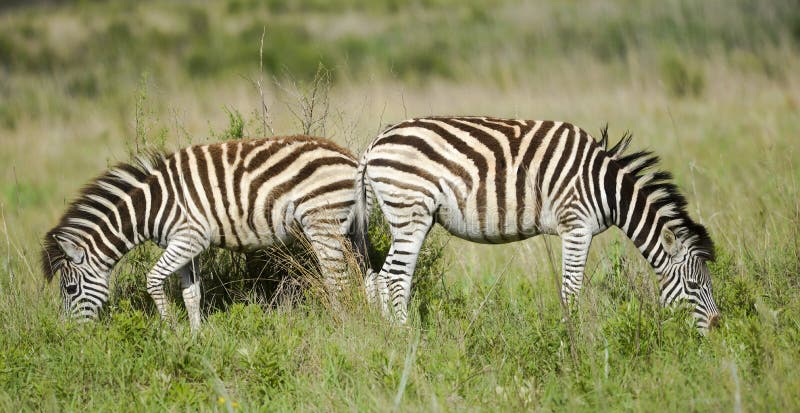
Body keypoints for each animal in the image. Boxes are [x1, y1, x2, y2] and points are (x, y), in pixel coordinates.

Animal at [42, 135, 367, 331]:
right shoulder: (186, 246)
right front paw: (196, 337)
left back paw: (341, 325)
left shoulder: (188, 238)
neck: (151, 206)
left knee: (337, 280)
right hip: (347, 228)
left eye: (70, 290)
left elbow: (153, 280)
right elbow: (191, 293)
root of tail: (351, 158)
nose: (70, 335)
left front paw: (171, 330)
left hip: (322, 222)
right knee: (358, 273)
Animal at [354, 116, 720, 332]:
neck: (606, 187)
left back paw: (389, 336)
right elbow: (571, 289)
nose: (718, 326)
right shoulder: (576, 225)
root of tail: (374, 144)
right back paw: (406, 340)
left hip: (410, 218)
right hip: (410, 213)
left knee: (380, 277)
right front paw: (573, 341)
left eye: (707, 284)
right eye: (694, 285)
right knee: (395, 279)